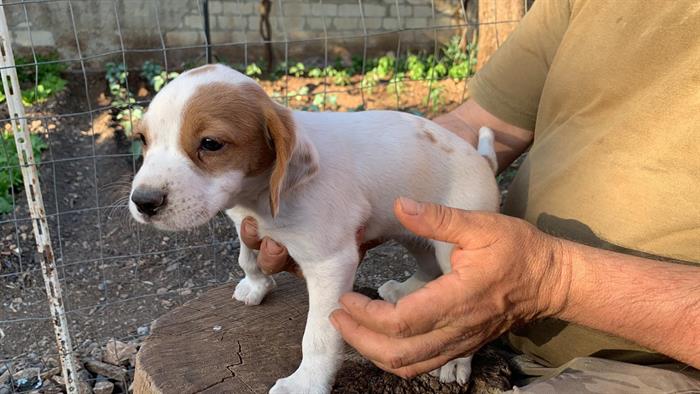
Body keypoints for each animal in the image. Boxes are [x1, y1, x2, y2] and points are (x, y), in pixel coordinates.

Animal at [129, 63, 500, 392]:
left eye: (210, 143)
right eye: (143, 139)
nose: (143, 202)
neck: (257, 197)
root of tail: (481, 159)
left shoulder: (330, 265)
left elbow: (318, 338)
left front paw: (305, 384)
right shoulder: (244, 222)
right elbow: (247, 257)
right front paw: (256, 285)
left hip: (453, 245)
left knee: (466, 309)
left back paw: (456, 361)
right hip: (411, 226)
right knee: (428, 265)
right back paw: (405, 291)